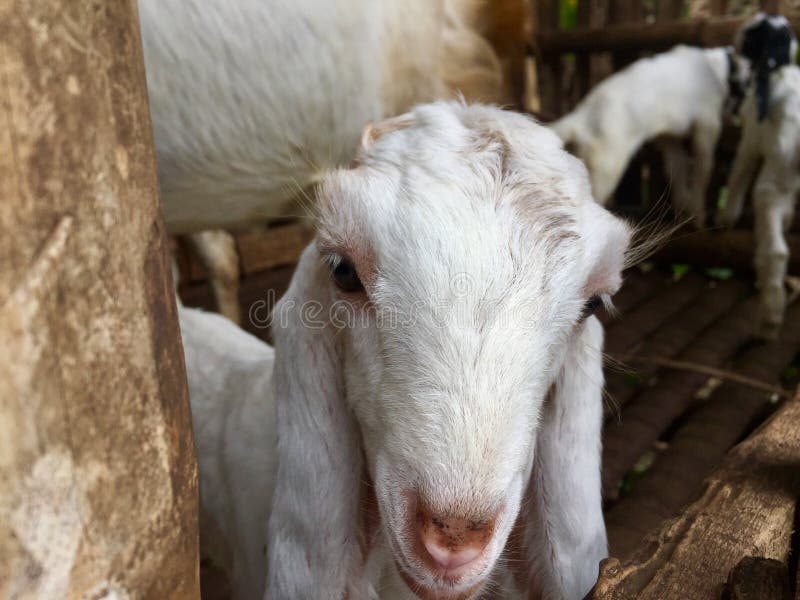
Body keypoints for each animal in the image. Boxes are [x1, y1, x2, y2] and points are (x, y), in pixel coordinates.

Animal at [551, 45, 749, 225]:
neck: (717, 67)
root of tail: (579, 119)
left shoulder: (670, 139)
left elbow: (678, 173)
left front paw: (683, 213)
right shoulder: (707, 126)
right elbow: (703, 172)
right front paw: (698, 217)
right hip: (605, 170)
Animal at [716, 15, 799, 339]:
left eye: (753, 33)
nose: (735, 36)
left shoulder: (751, 138)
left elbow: (739, 172)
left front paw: (725, 218)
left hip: (772, 182)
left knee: (776, 250)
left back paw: (770, 317)